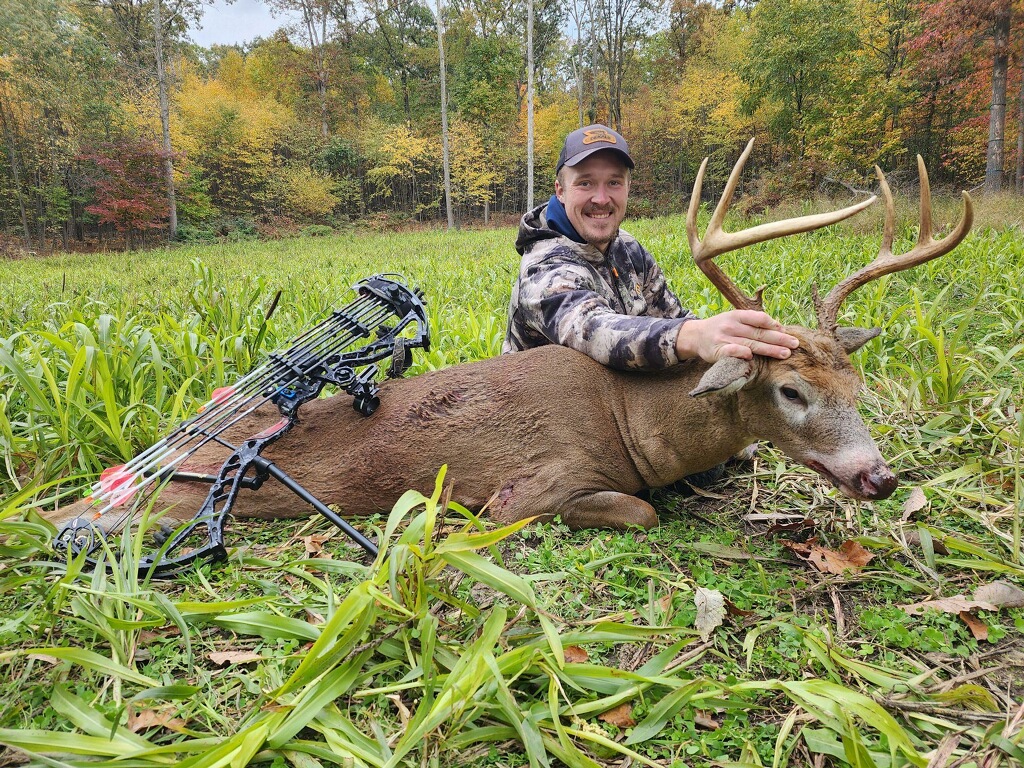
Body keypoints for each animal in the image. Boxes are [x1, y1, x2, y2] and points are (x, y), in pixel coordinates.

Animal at [44, 141, 973, 539]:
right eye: (790, 390)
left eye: (859, 387)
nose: (881, 478)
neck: (631, 421)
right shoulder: (528, 486)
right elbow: (636, 509)